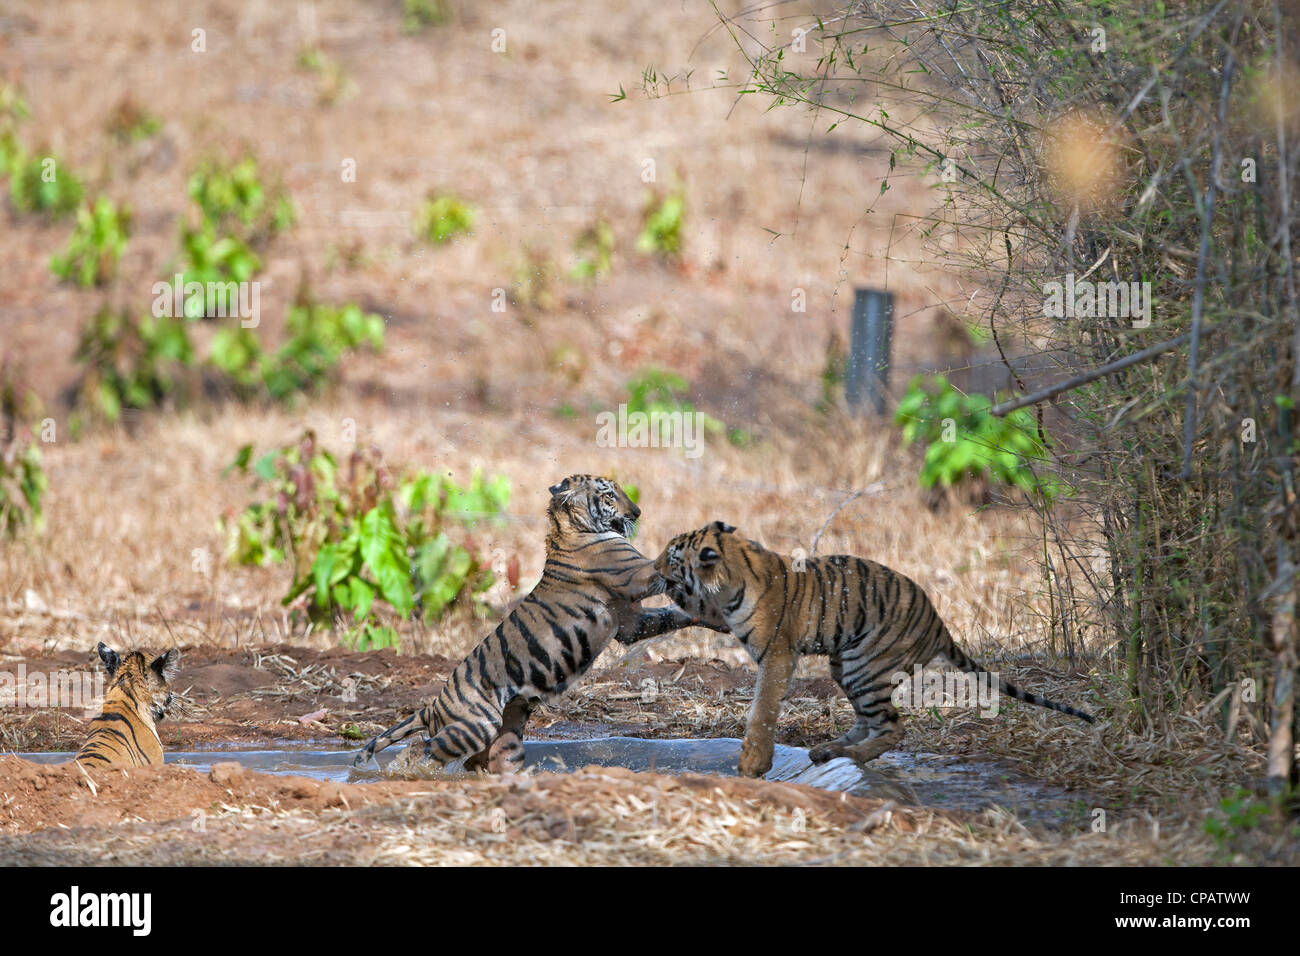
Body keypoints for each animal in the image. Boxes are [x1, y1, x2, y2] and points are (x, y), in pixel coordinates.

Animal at [353, 474, 722, 772]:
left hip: (505, 740)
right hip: (474, 727)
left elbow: (673, 615)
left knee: (478, 761)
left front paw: (715, 619)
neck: (569, 528)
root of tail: (432, 706)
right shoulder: (639, 574)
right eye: (610, 495)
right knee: (421, 750)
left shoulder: (631, 623)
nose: (638, 513)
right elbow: (668, 562)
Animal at [655, 522, 1094, 777]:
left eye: (673, 557)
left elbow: (761, 711)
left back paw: (850, 758)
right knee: (869, 721)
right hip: (847, 667)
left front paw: (751, 765)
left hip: (864, 665)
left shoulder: (776, 655)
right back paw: (829, 751)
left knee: (894, 726)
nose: (654, 567)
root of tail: (938, 622)